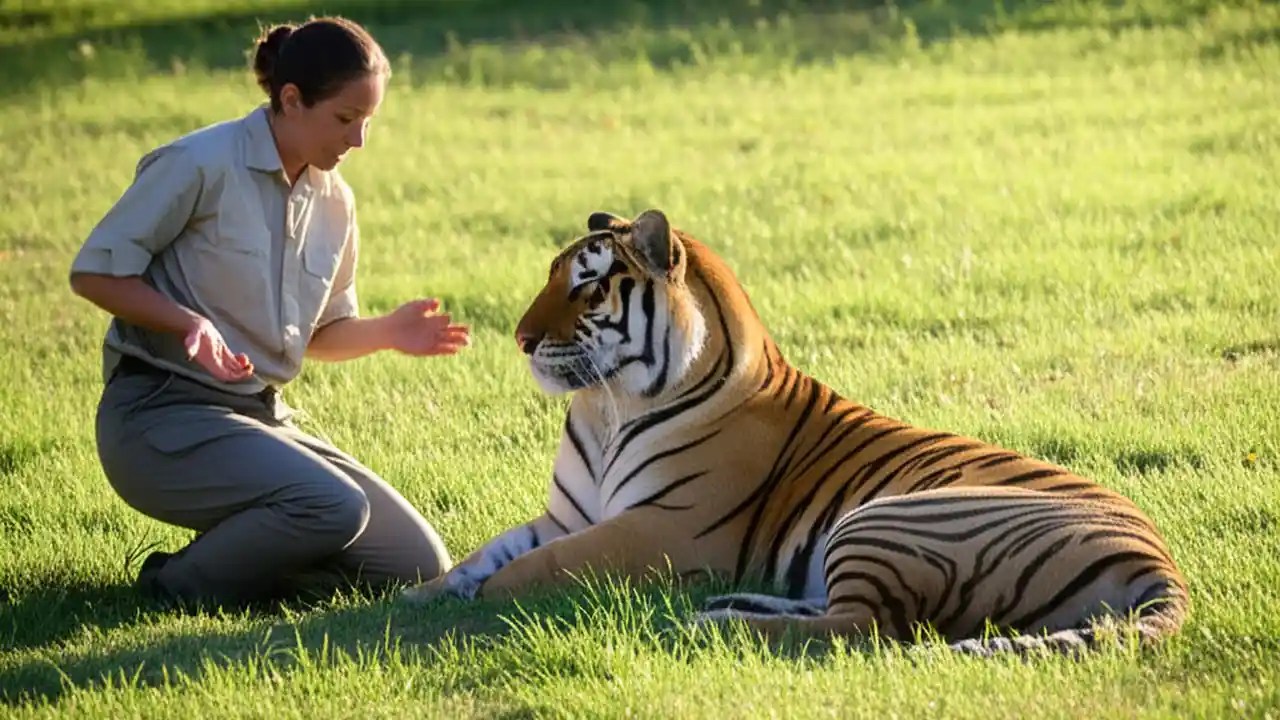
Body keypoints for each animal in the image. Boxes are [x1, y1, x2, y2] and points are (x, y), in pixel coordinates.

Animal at [402, 208, 1189, 655]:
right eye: (552, 274)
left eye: (589, 285)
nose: (521, 339)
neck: (606, 405)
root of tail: (1162, 562)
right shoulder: (567, 515)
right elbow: (485, 552)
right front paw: (419, 593)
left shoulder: (659, 527)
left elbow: (538, 567)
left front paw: (481, 598)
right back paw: (730, 607)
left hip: (887, 521)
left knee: (861, 628)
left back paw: (715, 625)